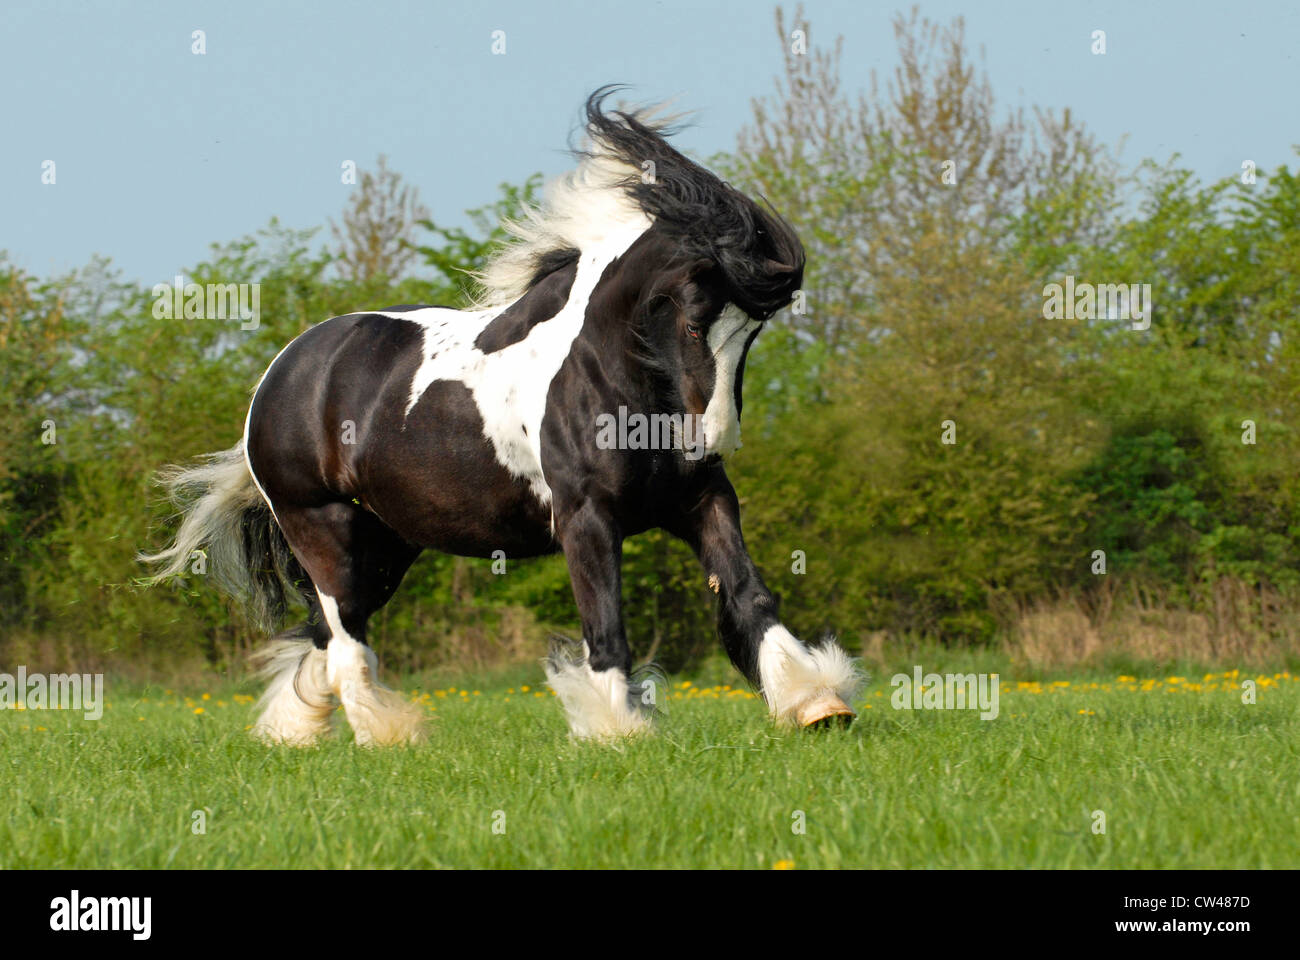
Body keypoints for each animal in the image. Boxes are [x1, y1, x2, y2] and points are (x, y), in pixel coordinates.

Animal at [141, 87, 863, 746]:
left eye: (752, 334)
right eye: (691, 322)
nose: (707, 441)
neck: (603, 372)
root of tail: (282, 375)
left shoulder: (701, 499)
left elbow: (748, 593)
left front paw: (815, 704)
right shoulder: (586, 518)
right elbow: (605, 626)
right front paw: (618, 729)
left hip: (388, 543)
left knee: (326, 635)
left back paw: (291, 732)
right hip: (321, 527)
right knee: (346, 644)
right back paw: (387, 736)